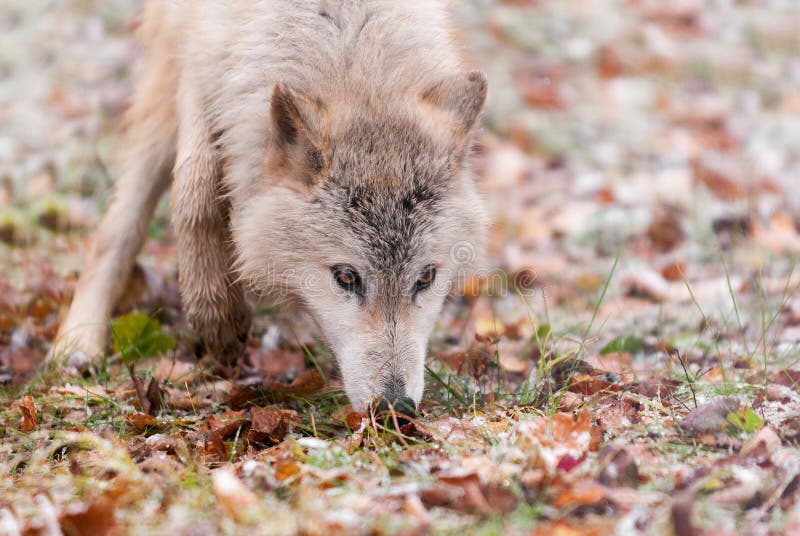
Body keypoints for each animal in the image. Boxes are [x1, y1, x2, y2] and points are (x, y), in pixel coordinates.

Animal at [50, 0, 488, 413]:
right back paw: (77, 344)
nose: (394, 407)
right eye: (346, 277)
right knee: (123, 220)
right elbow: (195, 191)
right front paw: (216, 314)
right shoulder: (201, 56)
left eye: (426, 277)